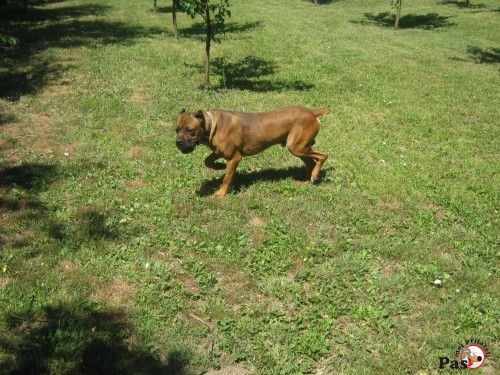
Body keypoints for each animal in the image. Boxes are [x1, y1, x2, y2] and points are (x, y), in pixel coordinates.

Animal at [174, 106, 330, 197]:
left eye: (190, 130)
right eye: (176, 129)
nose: (178, 142)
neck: (211, 124)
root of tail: (312, 112)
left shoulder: (234, 158)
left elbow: (226, 178)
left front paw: (221, 194)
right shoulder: (219, 152)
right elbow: (208, 161)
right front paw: (220, 166)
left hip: (297, 147)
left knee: (323, 155)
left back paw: (315, 175)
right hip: (298, 148)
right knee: (311, 163)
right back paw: (307, 179)